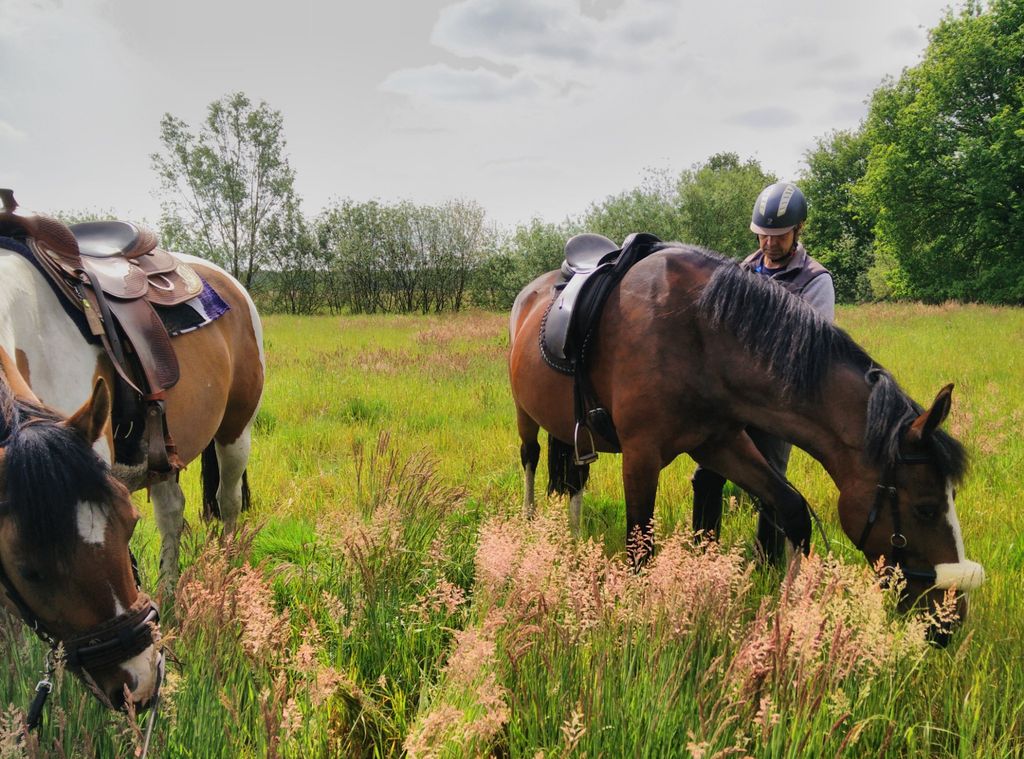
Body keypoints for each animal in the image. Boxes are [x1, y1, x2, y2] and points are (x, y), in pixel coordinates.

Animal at [0, 211, 264, 592]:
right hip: (168, 444)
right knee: (171, 511)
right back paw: (168, 593)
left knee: (227, 501)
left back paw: (228, 572)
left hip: (235, 431)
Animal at [509, 243, 985, 633]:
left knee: (574, 479)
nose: (950, 620)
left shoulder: (721, 443)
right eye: (925, 509)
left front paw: (790, 607)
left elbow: (791, 509)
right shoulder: (641, 456)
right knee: (531, 457)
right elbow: (639, 550)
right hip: (524, 414)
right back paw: (530, 524)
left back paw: (573, 536)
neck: (699, 334)